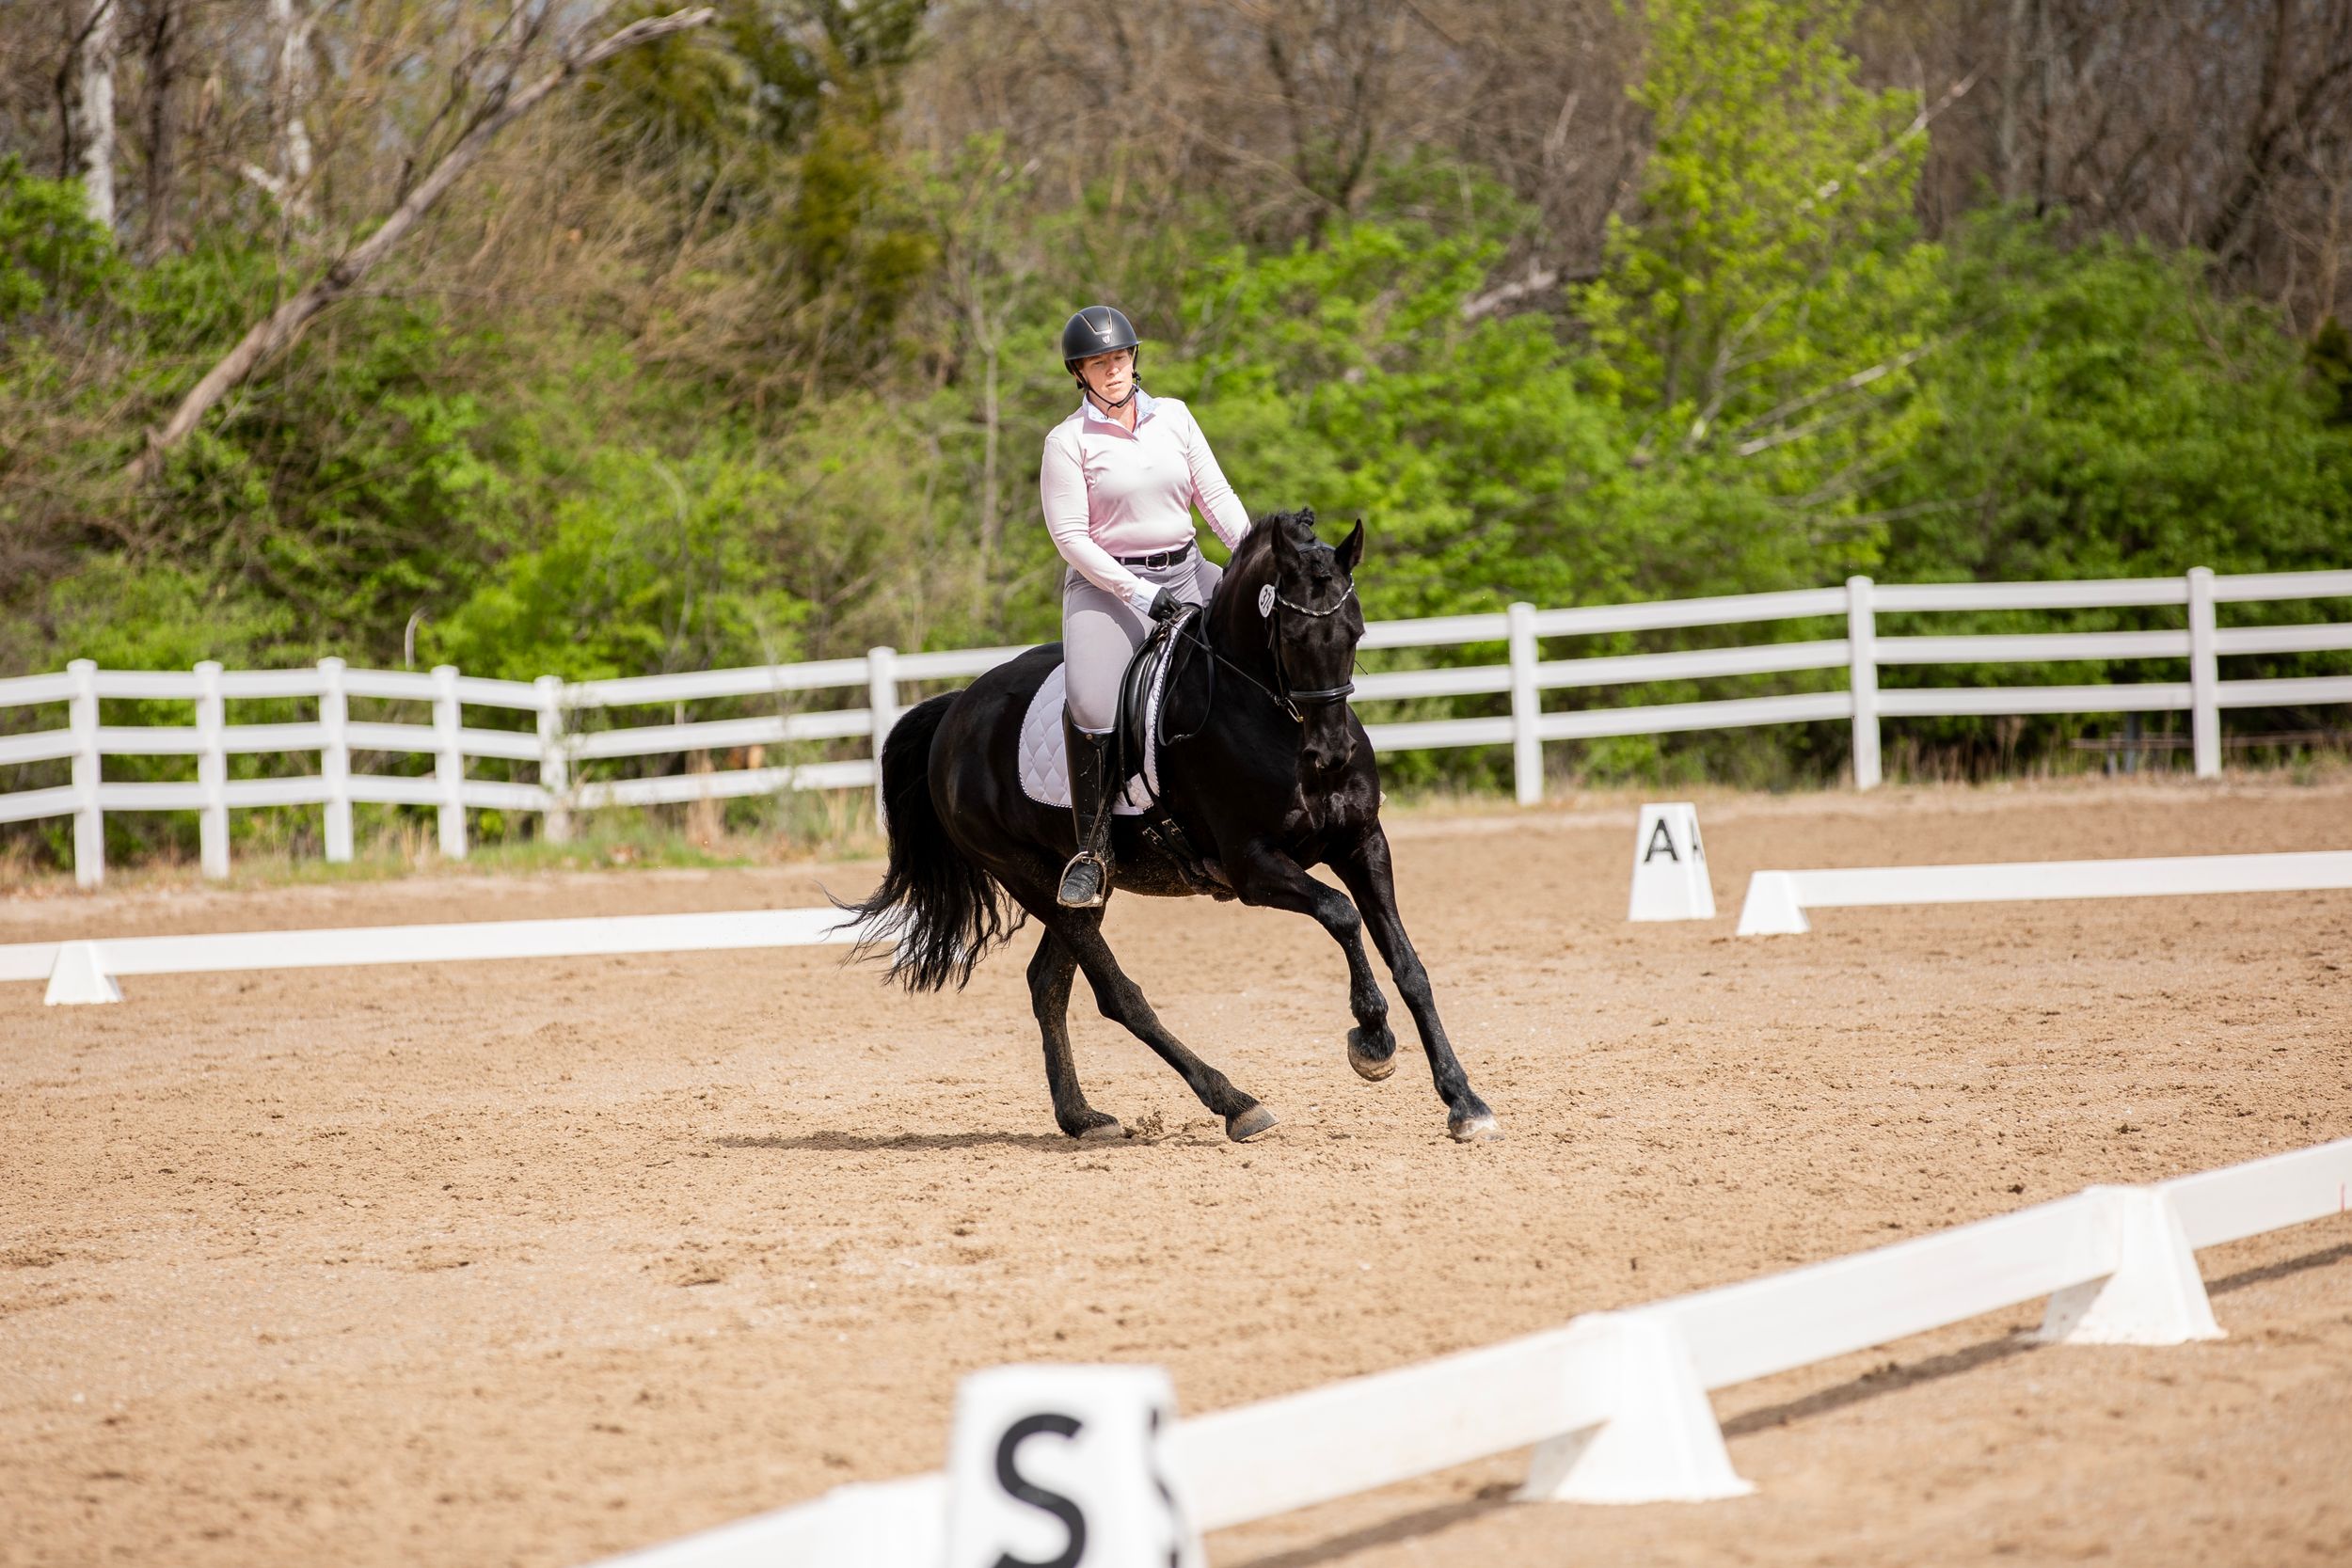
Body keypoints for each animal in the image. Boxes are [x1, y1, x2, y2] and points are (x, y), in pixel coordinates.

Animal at [838, 508, 1500, 1144]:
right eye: (1290, 636)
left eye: (1356, 631)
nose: (1331, 757)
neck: (1271, 718)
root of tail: (957, 711)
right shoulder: (1253, 867)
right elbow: (1340, 914)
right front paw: (1372, 1039)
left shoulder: (1363, 844)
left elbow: (1410, 966)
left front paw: (1464, 1102)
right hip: (1031, 877)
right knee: (1117, 996)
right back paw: (1235, 1104)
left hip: (1079, 886)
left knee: (1047, 984)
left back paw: (1083, 1118)